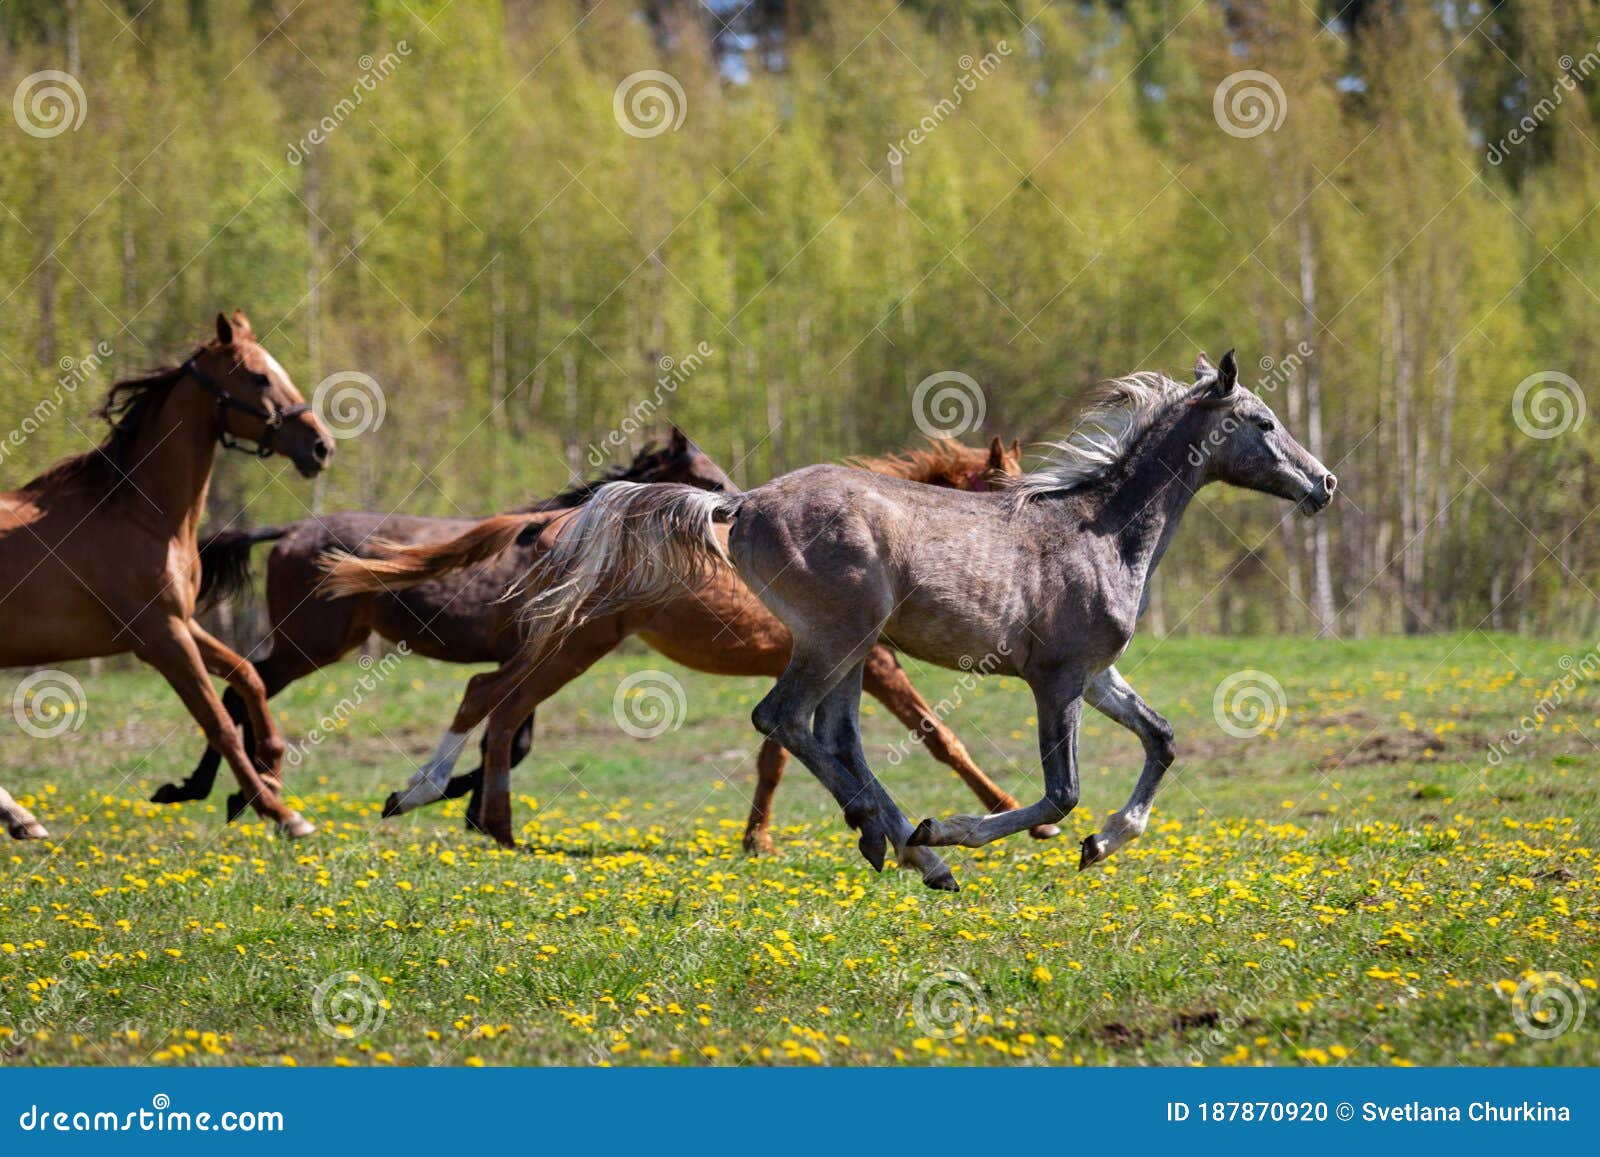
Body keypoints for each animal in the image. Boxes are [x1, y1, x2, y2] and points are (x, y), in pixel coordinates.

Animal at [0, 311, 334, 841]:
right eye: (260, 377)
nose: (321, 446)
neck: (142, 516)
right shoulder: (160, 637)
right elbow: (217, 721)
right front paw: (279, 812)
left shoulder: (183, 622)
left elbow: (247, 677)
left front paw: (270, 771)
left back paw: (21, 819)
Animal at [313, 435, 1043, 853]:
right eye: (1004, 490)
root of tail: (553, 523)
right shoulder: (873, 663)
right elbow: (941, 737)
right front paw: (1014, 812)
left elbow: (775, 756)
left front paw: (758, 837)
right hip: (572, 643)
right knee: (489, 697)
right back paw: (449, 803)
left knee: (501, 707)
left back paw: (487, 820)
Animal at [409, 349, 1337, 889]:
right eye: (1263, 421)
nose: (1323, 483)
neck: (1097, 530)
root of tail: (738, 503)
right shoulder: (1056, 679)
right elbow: (1059, 790)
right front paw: (963, 828)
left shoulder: (1100, 673)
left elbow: (1163, 738)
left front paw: (1105, 843)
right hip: (838, 637)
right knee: (784, 718)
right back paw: (916, 845)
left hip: (850, 650)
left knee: (829, 733)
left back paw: (896, 841)